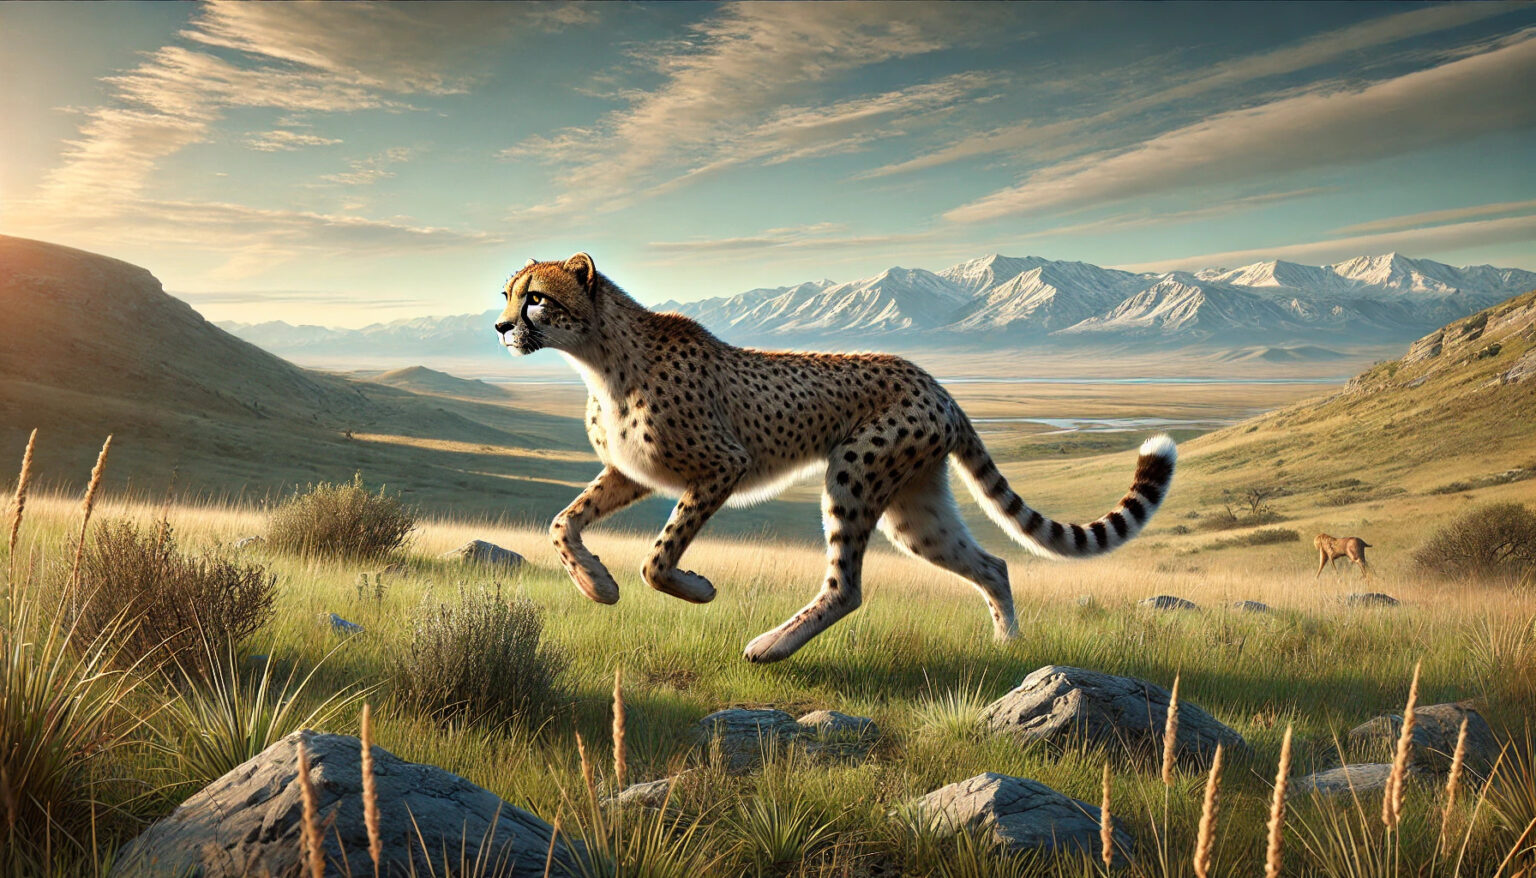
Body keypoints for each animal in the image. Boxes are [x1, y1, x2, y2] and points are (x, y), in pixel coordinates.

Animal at [494, 253, 1178, 663]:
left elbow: (657, 560)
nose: (501, 328)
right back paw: (1008, 645)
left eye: (537, 299)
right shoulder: (633, 473)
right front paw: (597, 583)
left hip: (855, 471)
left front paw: (696, 588)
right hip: (914, 508)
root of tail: (935, 382)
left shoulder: (722, 466)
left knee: (846, 588)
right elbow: (562, 522)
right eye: (507, 293)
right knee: (993, 564)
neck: (598, 356)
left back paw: (771, 646)